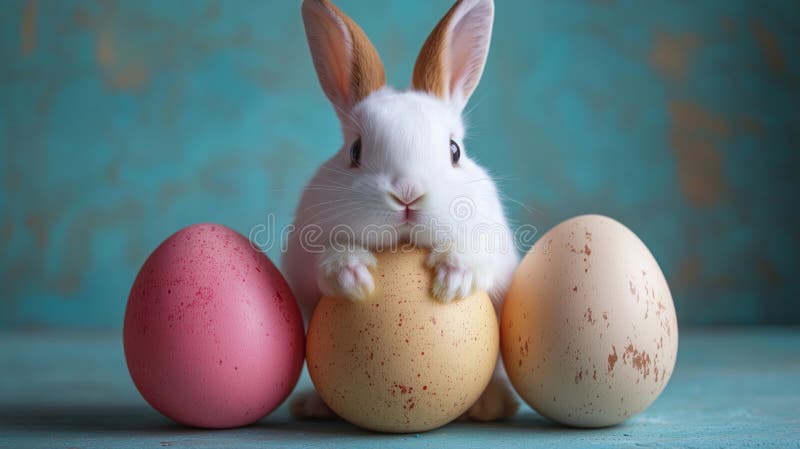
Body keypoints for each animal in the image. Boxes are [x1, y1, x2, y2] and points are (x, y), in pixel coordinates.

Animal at [284, 0, 520, 422]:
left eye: (454, 151)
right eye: (355, 151)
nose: (408, 194)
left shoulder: (496, 247)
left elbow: (478, 254)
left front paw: (453, 277)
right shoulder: (301, 255)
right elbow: (322, 264)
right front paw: (352, 273)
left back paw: (490, 405)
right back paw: (313, 406)